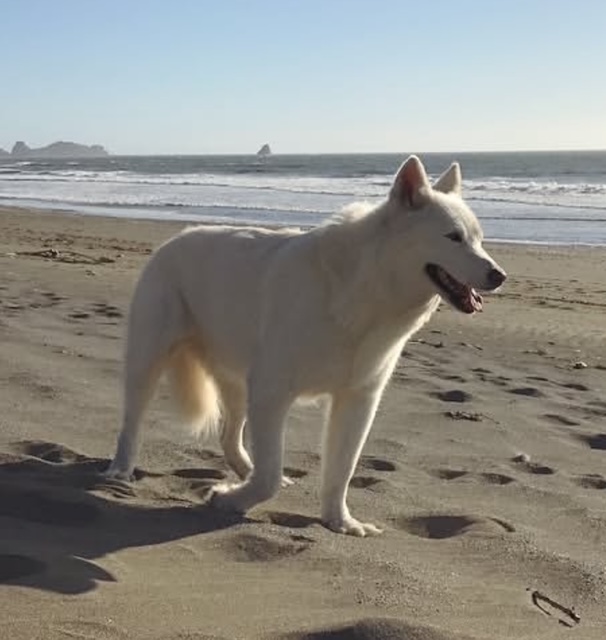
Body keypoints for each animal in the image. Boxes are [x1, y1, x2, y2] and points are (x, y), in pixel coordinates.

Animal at [106, 155, 506, 536]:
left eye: (478, 239)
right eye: (453, 237)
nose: (499, 275)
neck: (364, 292)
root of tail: (174, 240)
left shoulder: (357, 400)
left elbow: (341, 472)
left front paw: (339, 521)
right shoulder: (272, 392)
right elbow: (269, 477)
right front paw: (230, 500)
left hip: (237, 384)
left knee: (229, 436)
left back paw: (243, 473)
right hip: (149, 359)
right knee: (132, 421)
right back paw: (120, 471)